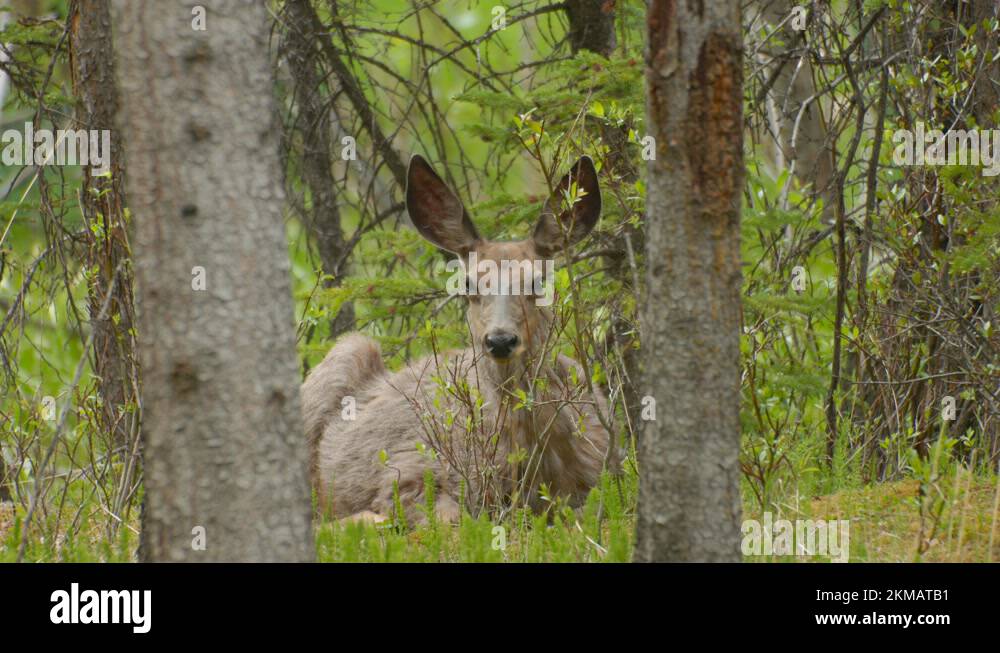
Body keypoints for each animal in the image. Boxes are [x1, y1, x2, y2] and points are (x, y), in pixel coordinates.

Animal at [301, 154, 618, 525]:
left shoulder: (604, 470)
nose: (500, 340)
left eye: (539, 281)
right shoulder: (408, 470)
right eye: (467, 284)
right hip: (344, 354)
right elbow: (450, 518)